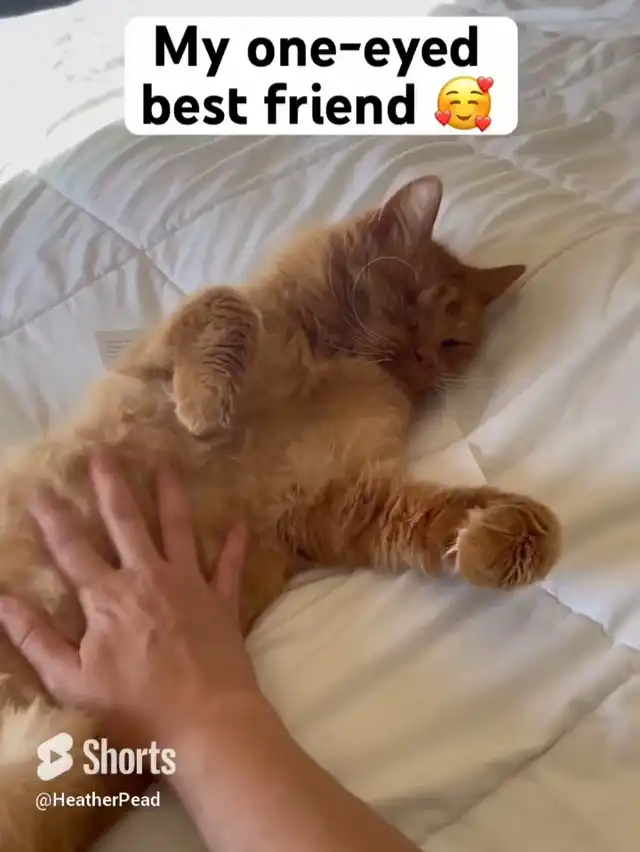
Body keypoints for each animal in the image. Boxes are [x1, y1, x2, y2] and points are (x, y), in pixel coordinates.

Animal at [0, 175, 561, 851]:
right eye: (409, 301)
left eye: (453, 343)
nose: (427, 361)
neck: (330, 363)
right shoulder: (155, 357)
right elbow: (223, 305)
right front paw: (206, 404)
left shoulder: (340, 497)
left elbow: (443, 517)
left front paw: (501, 542)